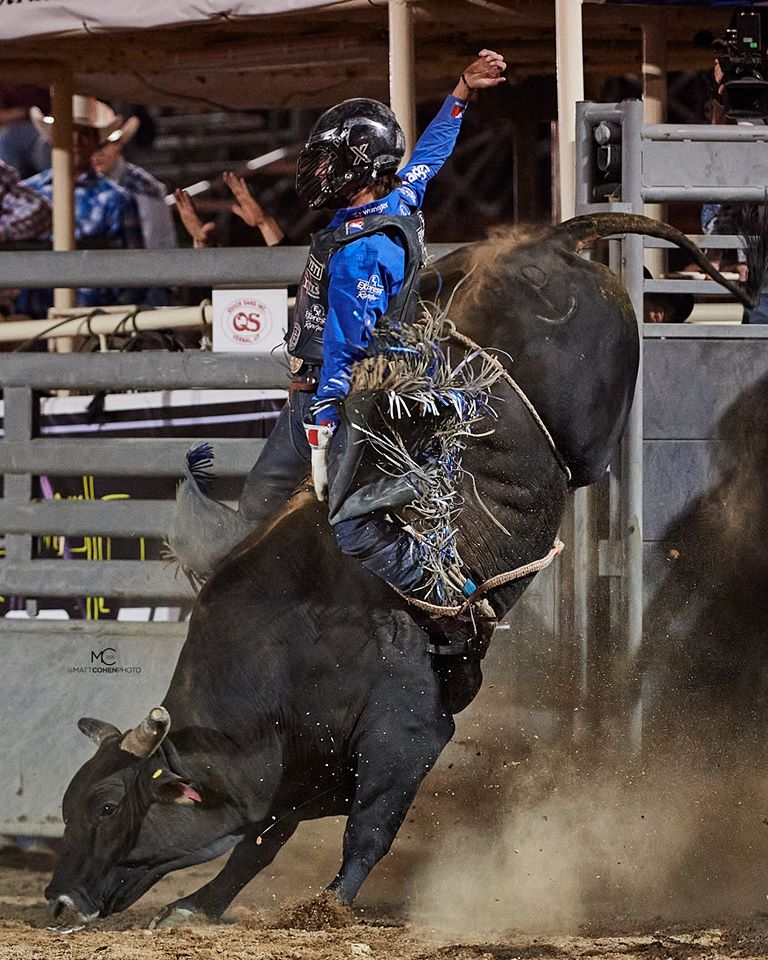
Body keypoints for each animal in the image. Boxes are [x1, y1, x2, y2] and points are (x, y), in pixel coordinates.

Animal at [44, 214, 766, 929]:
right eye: (70, 806)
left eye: (109, 807)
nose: (58, 900)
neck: (287, 653)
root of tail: (544, 244)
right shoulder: (307, 768)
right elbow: (262, 839)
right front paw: (198, 904)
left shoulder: (409, 733)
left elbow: (366, 829)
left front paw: (328, 904)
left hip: (592, 424)